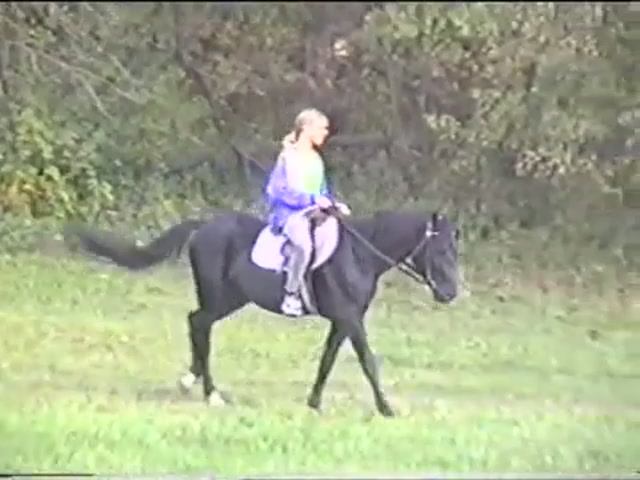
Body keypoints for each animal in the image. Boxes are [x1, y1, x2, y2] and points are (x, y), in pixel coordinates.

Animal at [66, 206, 460, 417]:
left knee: (196, 325)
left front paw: (314, 402)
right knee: (200, 325)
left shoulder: (342, 320)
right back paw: (211, 393)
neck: (358, 255)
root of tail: (204, 225)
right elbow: (367, 362)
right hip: (221, 298)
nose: (450, 293)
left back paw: (192, 381)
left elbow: (328, 360)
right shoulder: (351, 319)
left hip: (229, 299)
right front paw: (387, 408)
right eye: (440, 251)